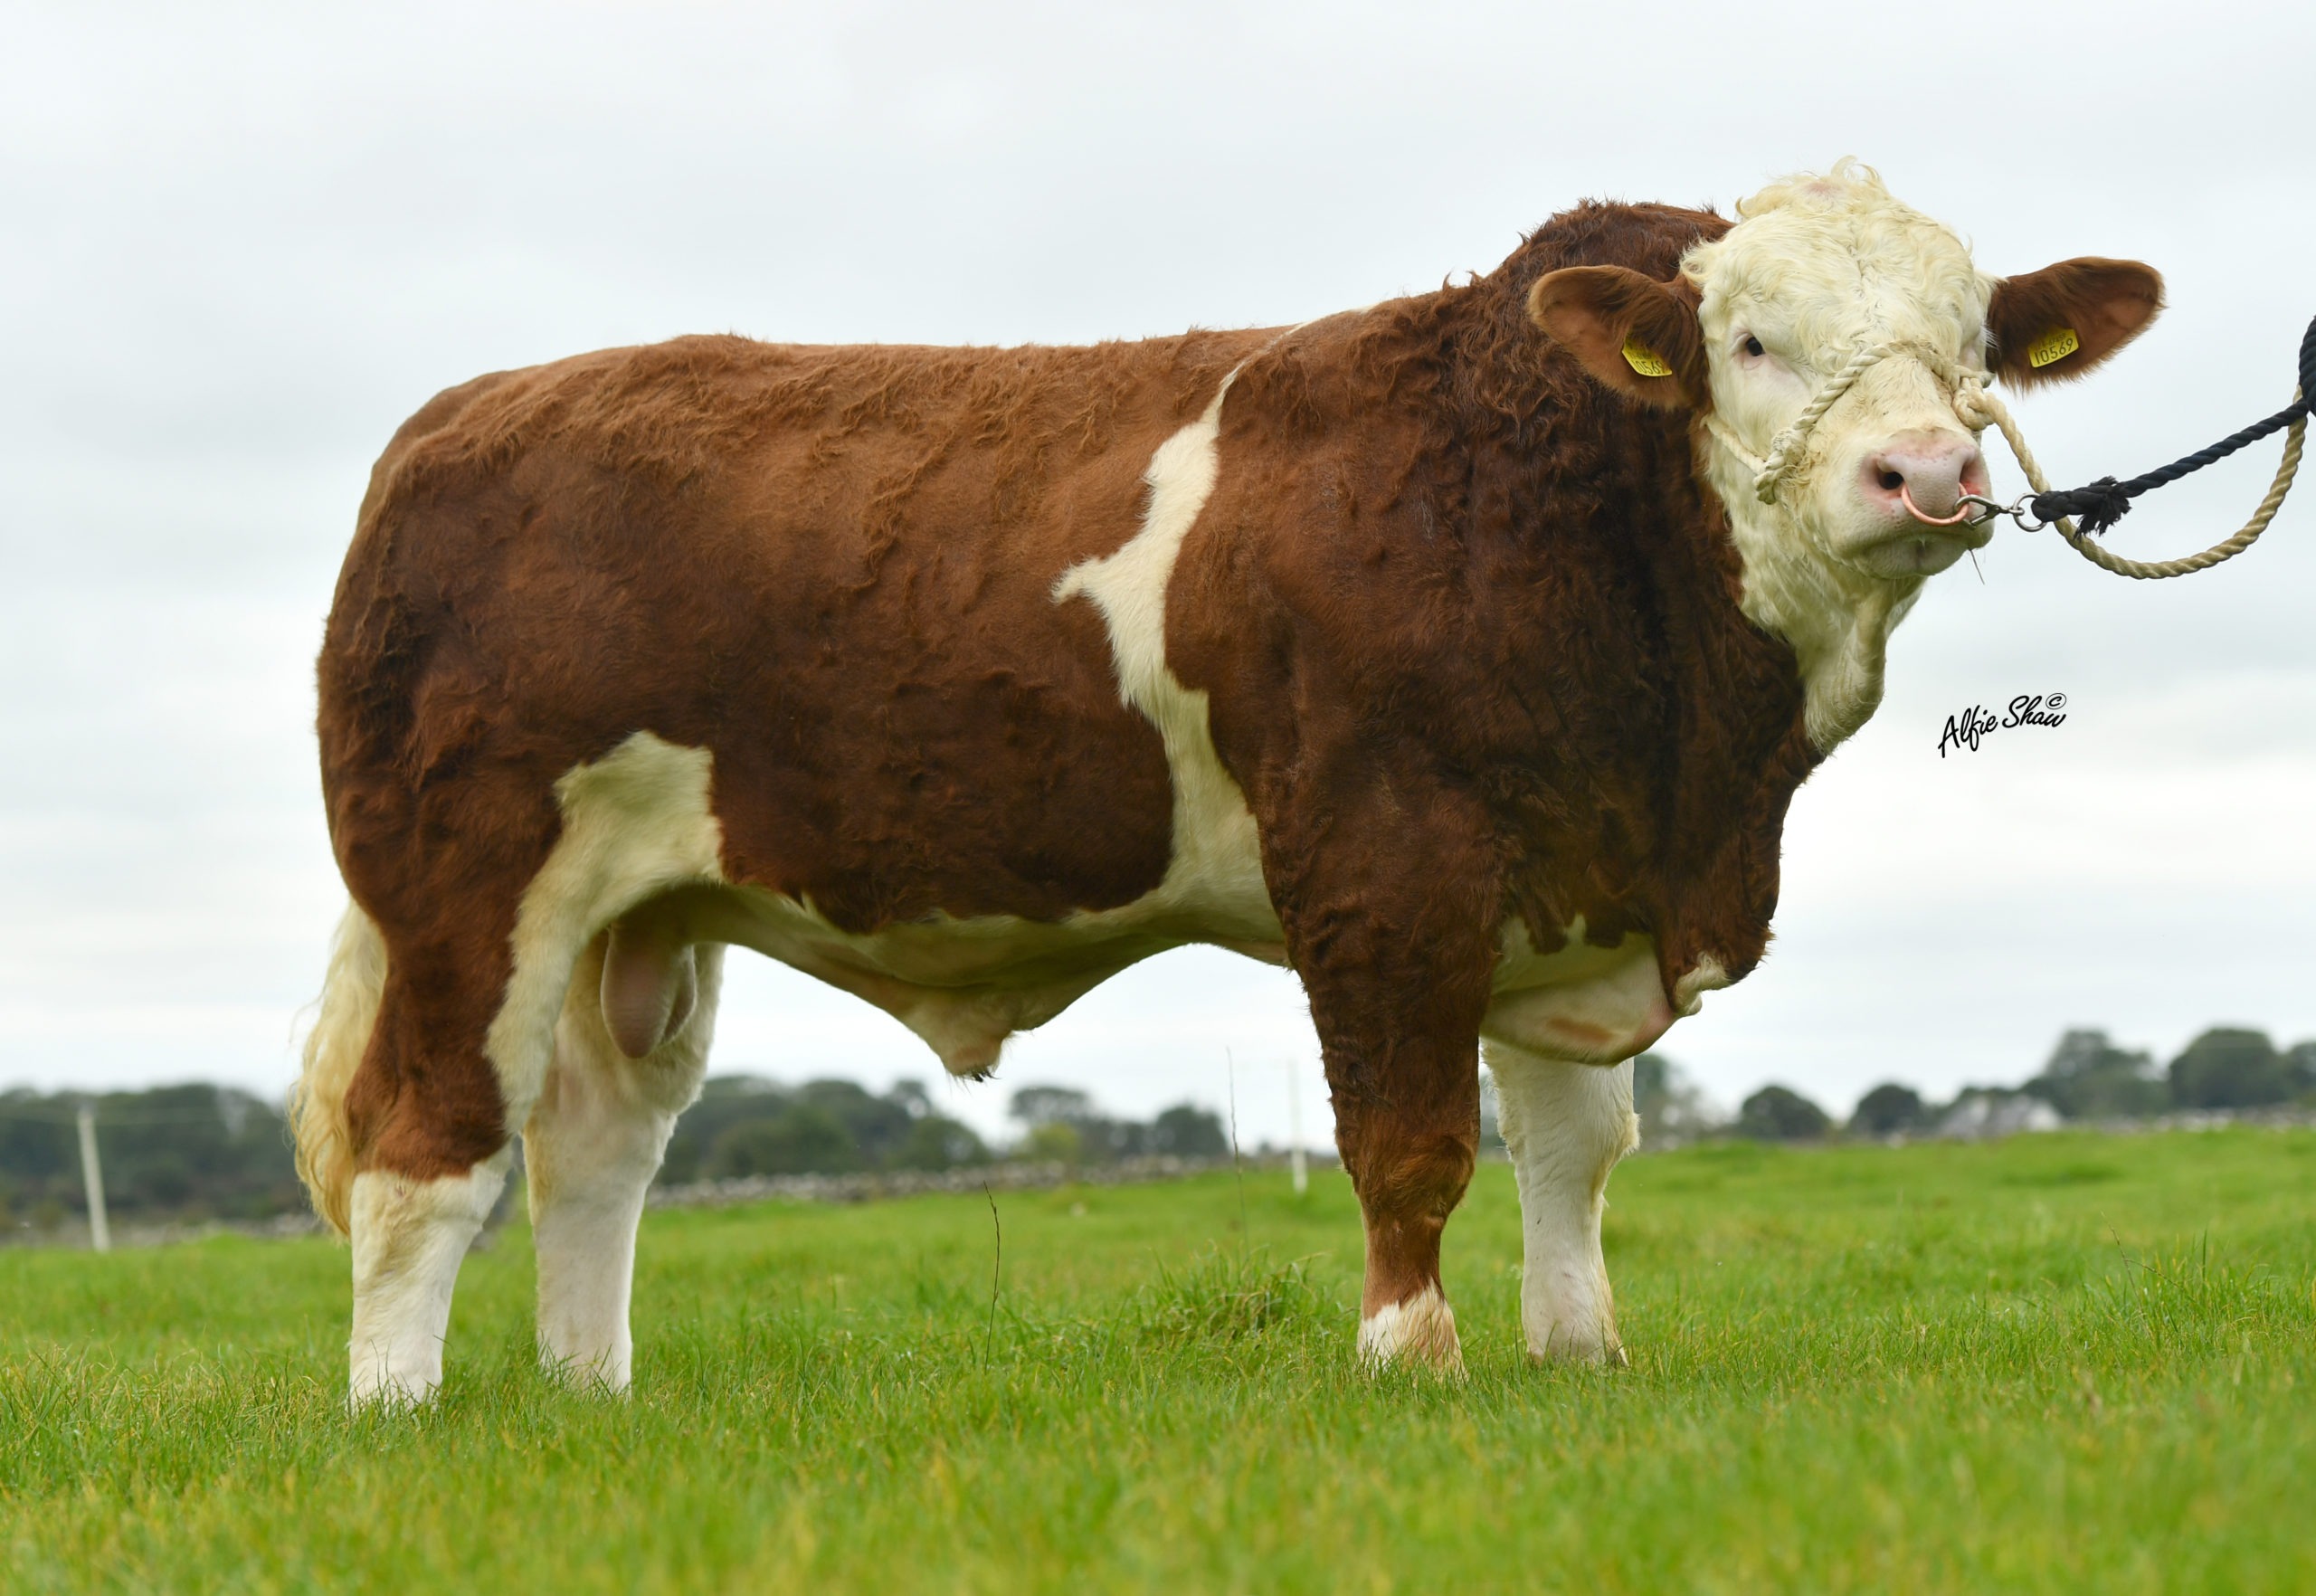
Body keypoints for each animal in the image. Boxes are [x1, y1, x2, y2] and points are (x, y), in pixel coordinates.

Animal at [294, 162, 2161, 1403]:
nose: (1924, 469)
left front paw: (1580, 1349)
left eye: (1978, 342)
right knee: (429, 1145)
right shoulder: (1389, 865)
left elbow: (1577, 1146)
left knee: (597, 1147)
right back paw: (400, 1406)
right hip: (469, 881)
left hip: (650, 913)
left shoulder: (1576, 871)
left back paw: (590, 1393)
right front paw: (1413, 1355)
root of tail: (466, 418)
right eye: (1755, 339)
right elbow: (1410, 1136)